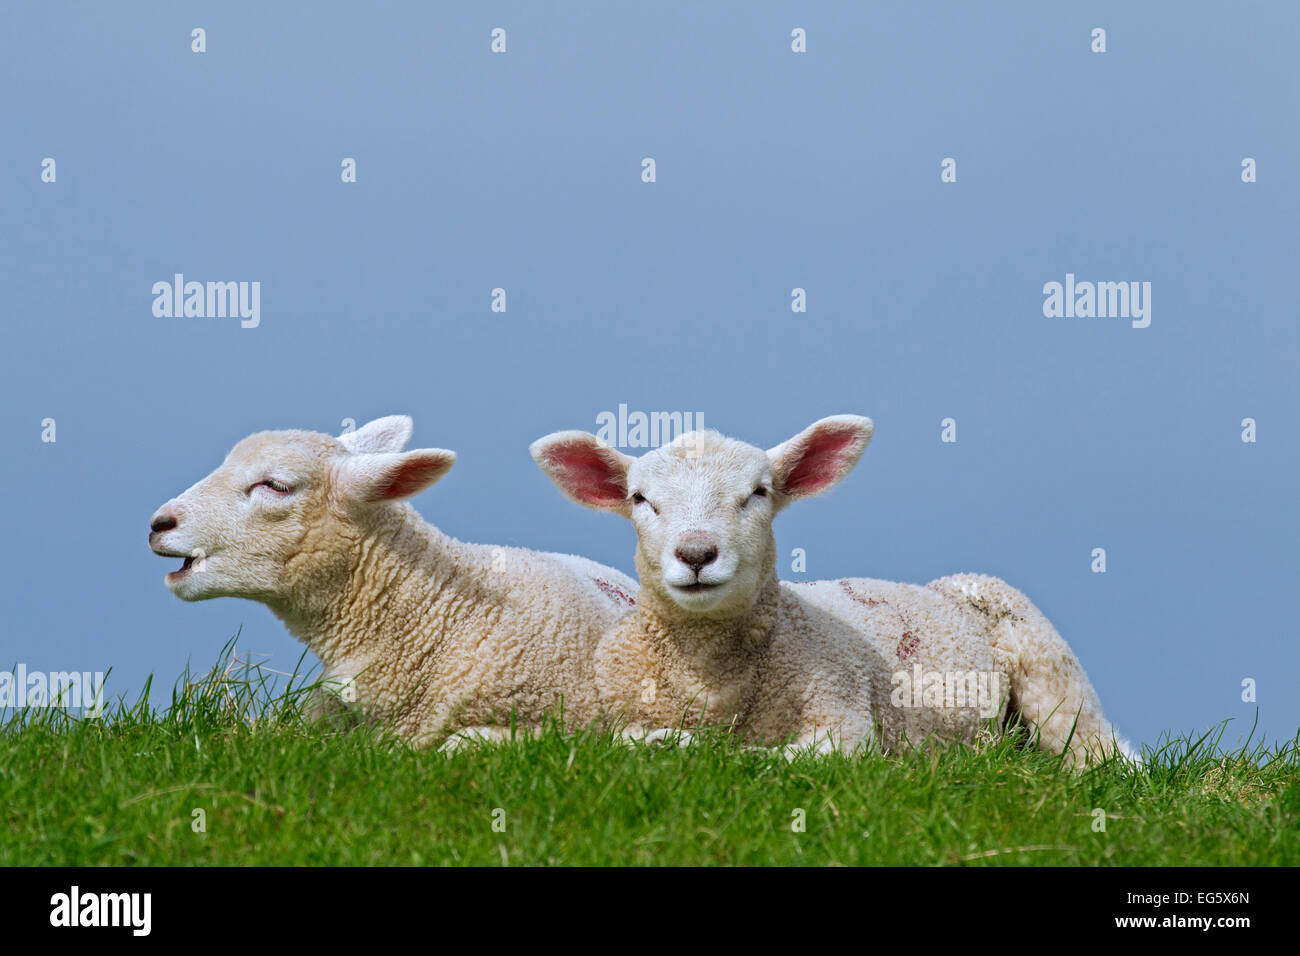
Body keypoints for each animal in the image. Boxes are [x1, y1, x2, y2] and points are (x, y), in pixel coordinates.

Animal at [531, 415, 1136, 766]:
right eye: (640, 499)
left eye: (759, 492)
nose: (697, 554)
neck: (709, 678)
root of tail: (946, 586)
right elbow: (628, 739)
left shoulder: (842, 718)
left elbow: (775, 758)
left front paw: (700, 749)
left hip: (1051, 672)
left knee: (1105, 754)